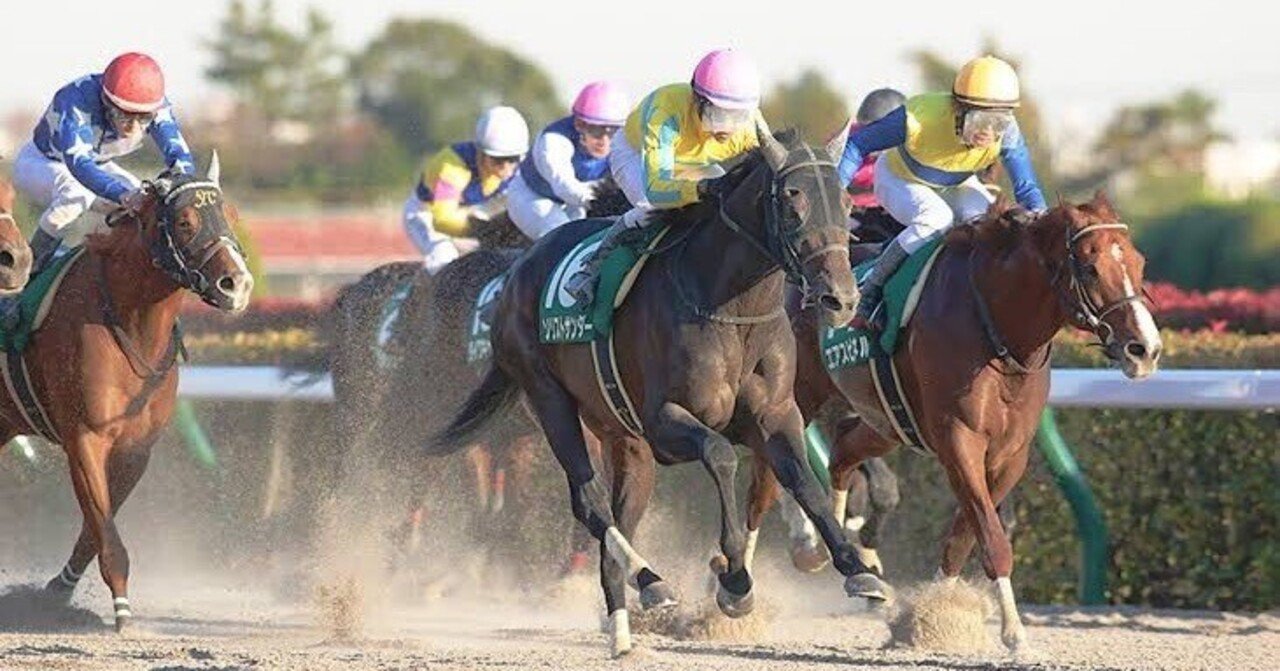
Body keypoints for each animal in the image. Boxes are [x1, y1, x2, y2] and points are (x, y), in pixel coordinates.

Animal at [0, 159, 252, 631]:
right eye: (185, 222)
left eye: (226, 216)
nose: (237, 284)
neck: (130, 323)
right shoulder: (85, 438)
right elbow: (104, 527)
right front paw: (120, 611)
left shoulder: (136, 448)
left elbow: (96, 527)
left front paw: (56, 592)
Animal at [440, 126, 891, 658]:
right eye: (791, 201)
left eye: (846, 201)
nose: (840, 298)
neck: (732, 310)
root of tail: (517, 270)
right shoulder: (665, 420)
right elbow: (720, 454)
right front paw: (734, 581)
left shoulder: (778, 414)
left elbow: (804, 482)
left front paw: (857, 570)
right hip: (548, 398)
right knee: (589, 502)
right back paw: (651, 580)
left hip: (623, 439)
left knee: (620, 515)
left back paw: (620, 628)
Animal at [775, 194, 1161, 652]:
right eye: (1090, 268)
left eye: (1139, 263)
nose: (1145, 349)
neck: (998, 333)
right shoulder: (958, 440)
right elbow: (991, 536)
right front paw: (1013, 634)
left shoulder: (1009, 454)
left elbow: (966, 533)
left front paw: (929, 614)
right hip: (799, 395)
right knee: (770, 470)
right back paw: (785, 560)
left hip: (884, 421)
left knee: (842, 453)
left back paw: (838, 556)